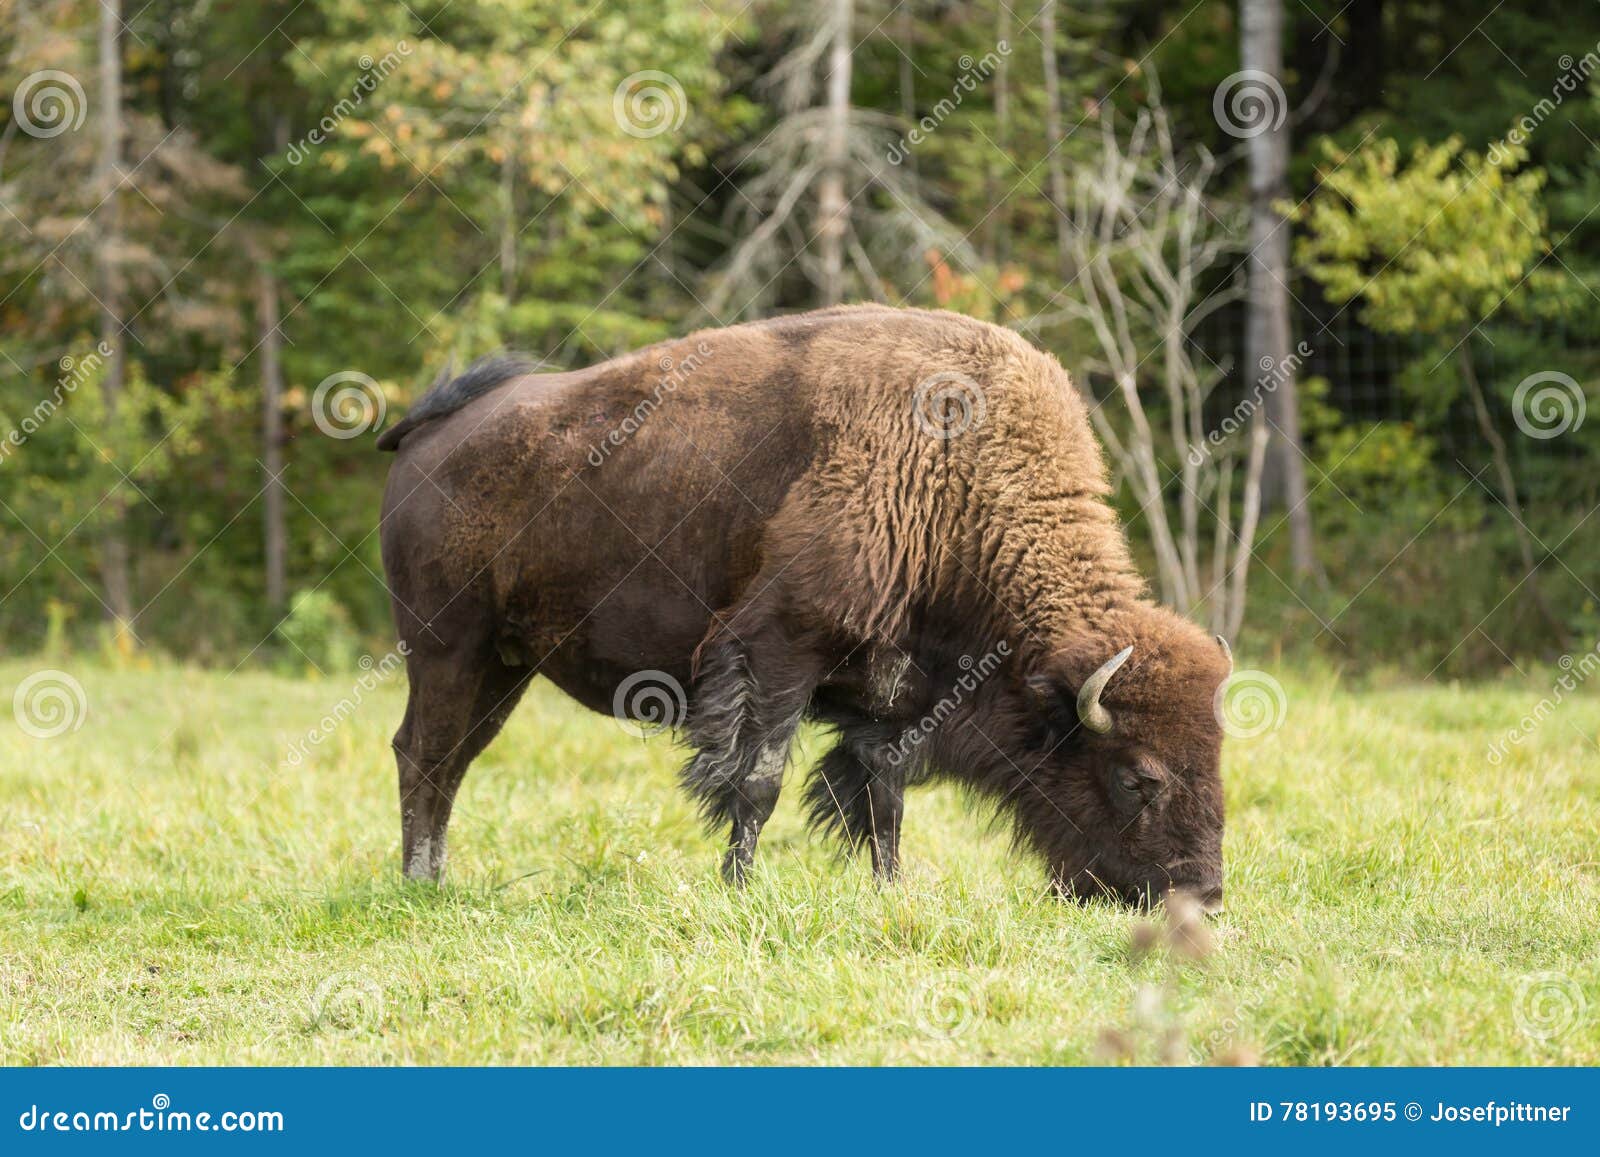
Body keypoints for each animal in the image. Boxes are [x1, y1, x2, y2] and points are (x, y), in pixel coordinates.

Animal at [377, 305, 1231, 908]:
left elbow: (883, 798)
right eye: (1139, 777)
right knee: (423, 754)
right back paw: (420, 886)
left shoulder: (899, 699)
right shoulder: (779, 652)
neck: (955, 474)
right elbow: (757, 781)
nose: (1205, 894)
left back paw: (438, 878)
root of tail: (432, 430)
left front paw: (889, 890)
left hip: (505, 667)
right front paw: (738, 889)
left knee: (454, 760)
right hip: (446, 649)